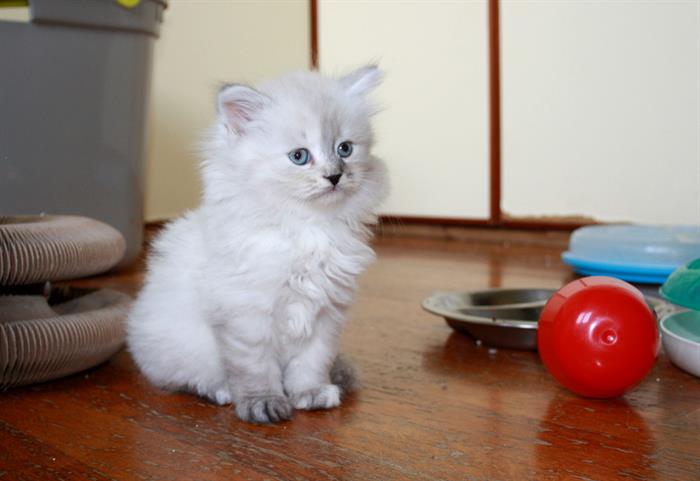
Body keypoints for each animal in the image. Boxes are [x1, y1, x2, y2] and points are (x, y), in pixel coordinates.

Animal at [127, 65, 388, 422]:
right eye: (299, 156)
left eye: (344, 149)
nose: (335, 176)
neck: (307, 228)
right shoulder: (246, 314)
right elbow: (254, 370)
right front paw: (262, 404)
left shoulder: (325, 313)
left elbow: (312, 363)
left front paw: (311, 393)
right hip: (176, 346)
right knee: (184, 379)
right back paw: (220, 391)